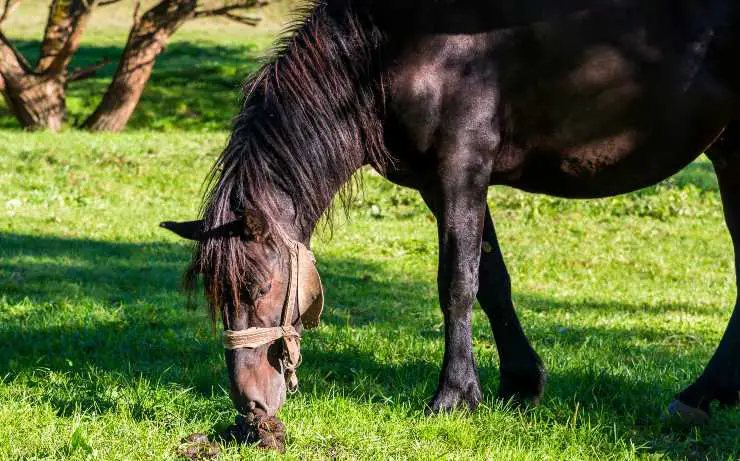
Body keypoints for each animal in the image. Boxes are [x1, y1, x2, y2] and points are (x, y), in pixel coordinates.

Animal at [161, 0, 740, 451]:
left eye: (260, 289)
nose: (252, 406)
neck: (387, 50)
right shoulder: (439, 187)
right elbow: (493, 283)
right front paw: (519, 383)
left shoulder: (461, 172)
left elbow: (457, 285)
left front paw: (455, 395)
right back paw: (707, 396)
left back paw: (701, 394)